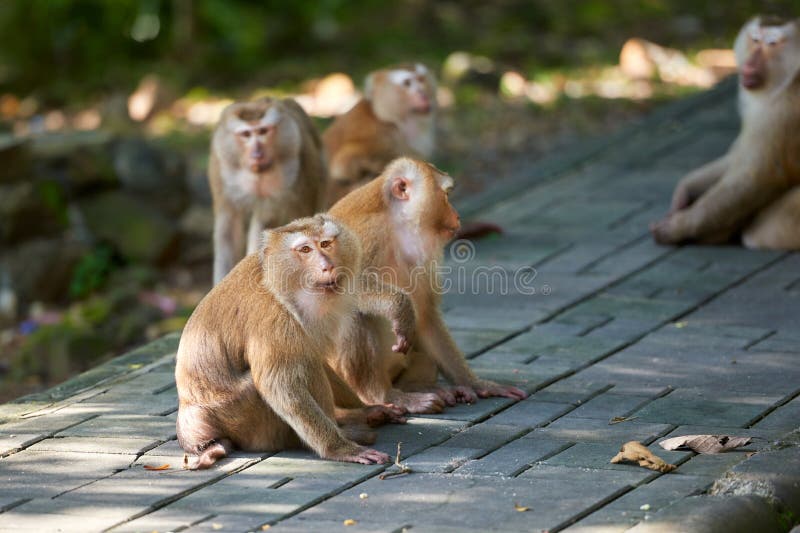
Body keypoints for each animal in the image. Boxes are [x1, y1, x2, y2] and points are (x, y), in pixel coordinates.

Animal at [175, 214, 413, 469]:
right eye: (305, 250)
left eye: (326, 244)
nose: (327, 265)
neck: (284, 287)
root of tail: (189, 421)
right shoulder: (272, 318)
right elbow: (278, 384)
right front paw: (339, 449)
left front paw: (369, 408)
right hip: (240, 415)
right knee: (301, 368)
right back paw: (347, 431)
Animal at [323, 63, 437, 204]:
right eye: (407, 83)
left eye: (421, 80)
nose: (422, 93)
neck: (392, 120)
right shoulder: (377, 133)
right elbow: (343, 166)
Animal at [327, 158, 528, 414]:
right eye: (446, 195)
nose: (457, 216)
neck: (394, 225)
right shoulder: (363, 233)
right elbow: (334, 282)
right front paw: (398, 306)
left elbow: (425, 316)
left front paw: (477, 384)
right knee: (353, 314)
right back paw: (382, 395)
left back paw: (421, 388)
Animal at [651, 16, 800, 249]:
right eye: (755, 40)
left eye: (772, 44)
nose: (751, 62)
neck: (790, 82)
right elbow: (738, 156)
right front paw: (687, 189)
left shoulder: (782, 113)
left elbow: (754, 180)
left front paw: (679, 227)